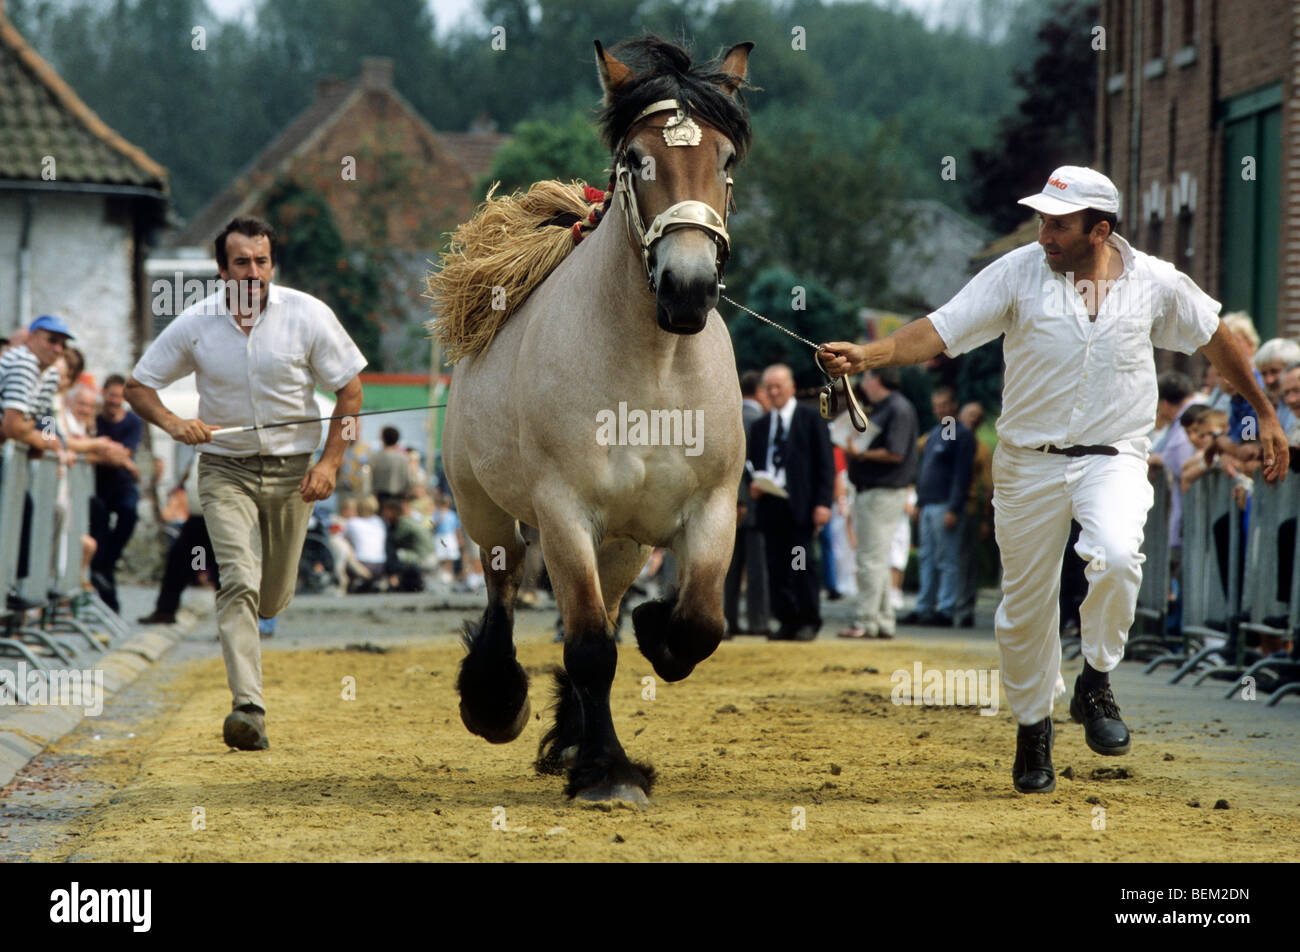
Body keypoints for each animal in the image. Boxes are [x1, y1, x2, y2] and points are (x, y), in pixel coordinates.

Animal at [434, 36, 753, 804]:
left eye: (727, 160)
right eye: (636, 159)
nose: (688, 289)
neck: (653, 372)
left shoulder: (711, 509)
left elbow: (698, 623)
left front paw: (656, 628)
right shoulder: (564, 512)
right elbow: (586, 647)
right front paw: (607, 772)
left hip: (624, 543)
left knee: (606, 611)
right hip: (488, 512)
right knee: (505, 589)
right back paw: (496, 699)